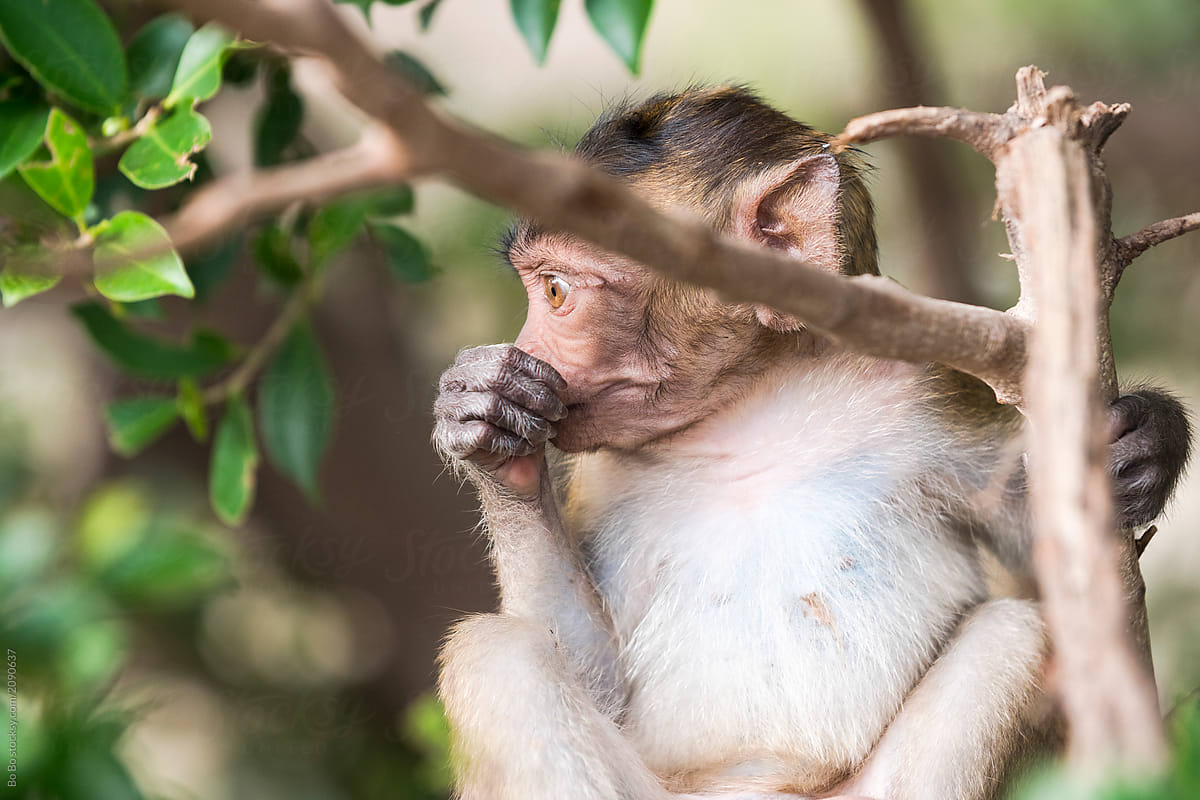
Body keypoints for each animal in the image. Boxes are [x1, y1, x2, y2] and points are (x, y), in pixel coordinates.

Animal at [431, 87, 1192, 800]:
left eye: (556, 292)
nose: (529, 347)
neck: (750, 405)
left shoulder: (932, 395)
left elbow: (1046, 560)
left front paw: (1142, 450)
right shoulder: (603, 477)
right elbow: (595, 671)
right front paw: (489, 425)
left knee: (1016, 633)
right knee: (494, 652)